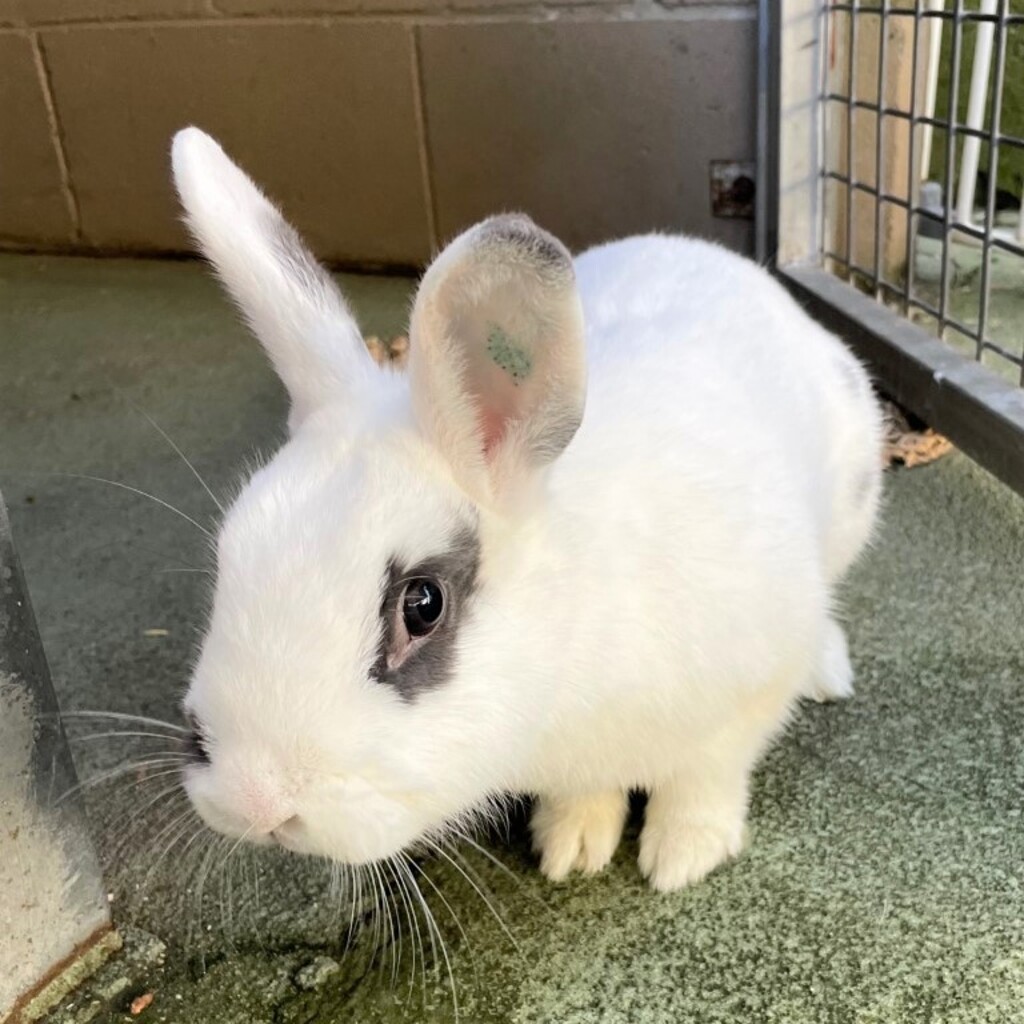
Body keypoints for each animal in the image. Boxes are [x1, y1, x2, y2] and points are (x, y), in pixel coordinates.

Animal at [172, 126, 883, 892]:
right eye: (230, 556)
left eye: (422, 604)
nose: (252, 802)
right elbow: (586, 793)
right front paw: (572, 844)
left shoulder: (749, 690)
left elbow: (707, 774)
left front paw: (682, 853)